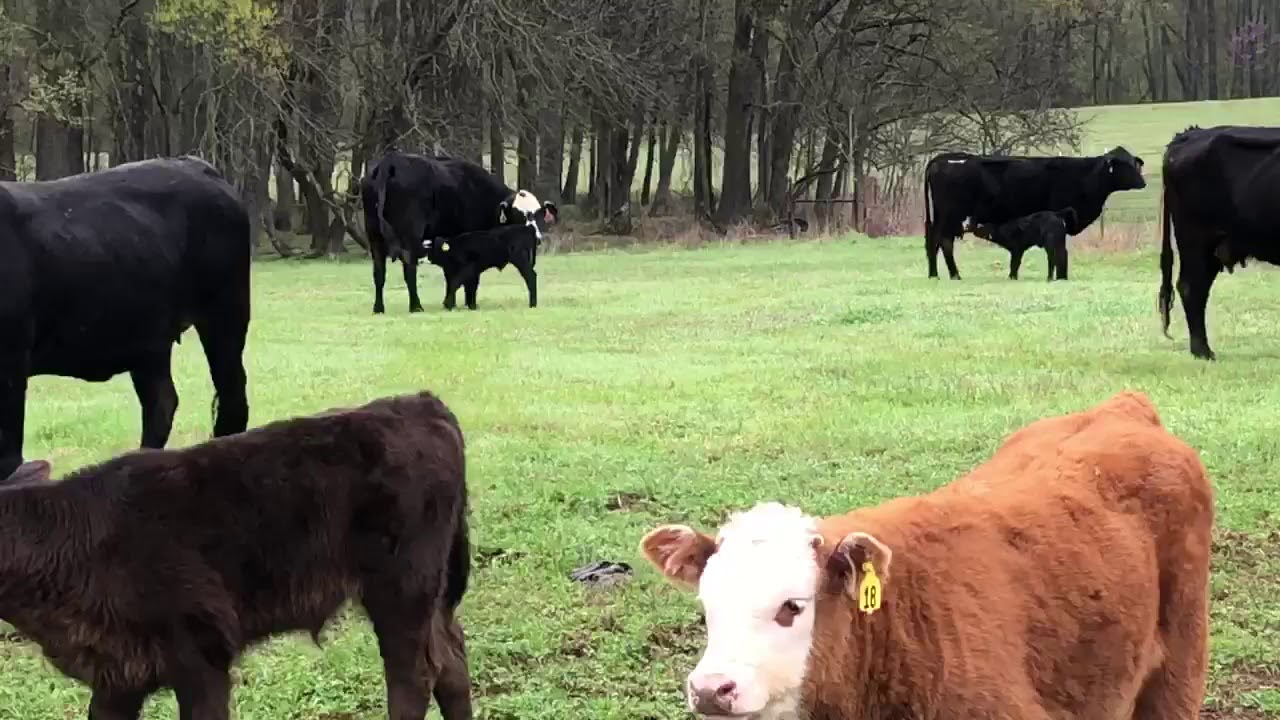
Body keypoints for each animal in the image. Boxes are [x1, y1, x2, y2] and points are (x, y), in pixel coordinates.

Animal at [0, 156, 251, 481]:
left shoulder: (11, 360)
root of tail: (194, 164)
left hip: (225, 314)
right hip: (149, 339)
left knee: (231, 399)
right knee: (161, 402)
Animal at [0, 390, 473, 720]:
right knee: (451, 661)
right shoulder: (117, 676)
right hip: (429, 594)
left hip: (402, 588)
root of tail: (419, 403)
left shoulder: (202, 654)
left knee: (416, 675)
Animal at [360, 150, 539, 315]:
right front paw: (468, 303)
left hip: (374, 236)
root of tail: (391, 160)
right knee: (409, 268)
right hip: (409, 236)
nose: (536, 238)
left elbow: (451, 275)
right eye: (519, 214)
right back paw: (416, 306)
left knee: (379, 273)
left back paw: (378, 308)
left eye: (539, 213)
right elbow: (469, 279)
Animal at [422, 191, 558, 310]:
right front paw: (468, 306)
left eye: (431, 248)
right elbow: (461, 285)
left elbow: (459, 284)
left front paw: (451, 304)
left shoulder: (469, 269)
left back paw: (532, 305)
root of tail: (528, 229)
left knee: (531, 277)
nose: (424, 259)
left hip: (521, 260)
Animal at [924, 146, 1146, 279]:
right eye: (1125, 165)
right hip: (950, 217)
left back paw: (935, 274)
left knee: (934, 242)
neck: (1085, 175)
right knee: (944, 242)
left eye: (1134, 163)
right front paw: (1061, 276)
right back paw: (953, 275)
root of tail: (943, 158)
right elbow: (1059, 250)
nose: (1143, 182)